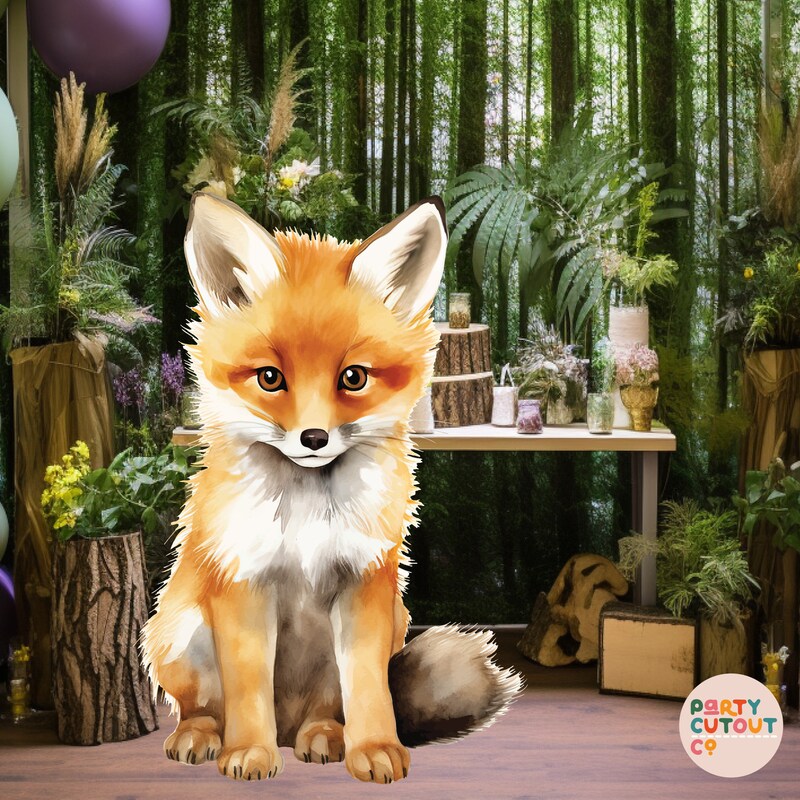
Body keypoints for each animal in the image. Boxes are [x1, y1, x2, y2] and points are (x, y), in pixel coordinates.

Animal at [141, 193, 522, 784]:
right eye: (270, 378)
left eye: (354, 378)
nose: (314, 438)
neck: (306, 519)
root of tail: (289, 721)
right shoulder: (243, 582)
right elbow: (247, 692)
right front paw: (249, 753)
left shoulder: (364, 582)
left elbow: (367, 690)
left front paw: (376, 749)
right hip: (179, 630)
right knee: (208, 707)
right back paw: (204, 737)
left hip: (381, 627)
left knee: (326, 709)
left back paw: (324, 737)